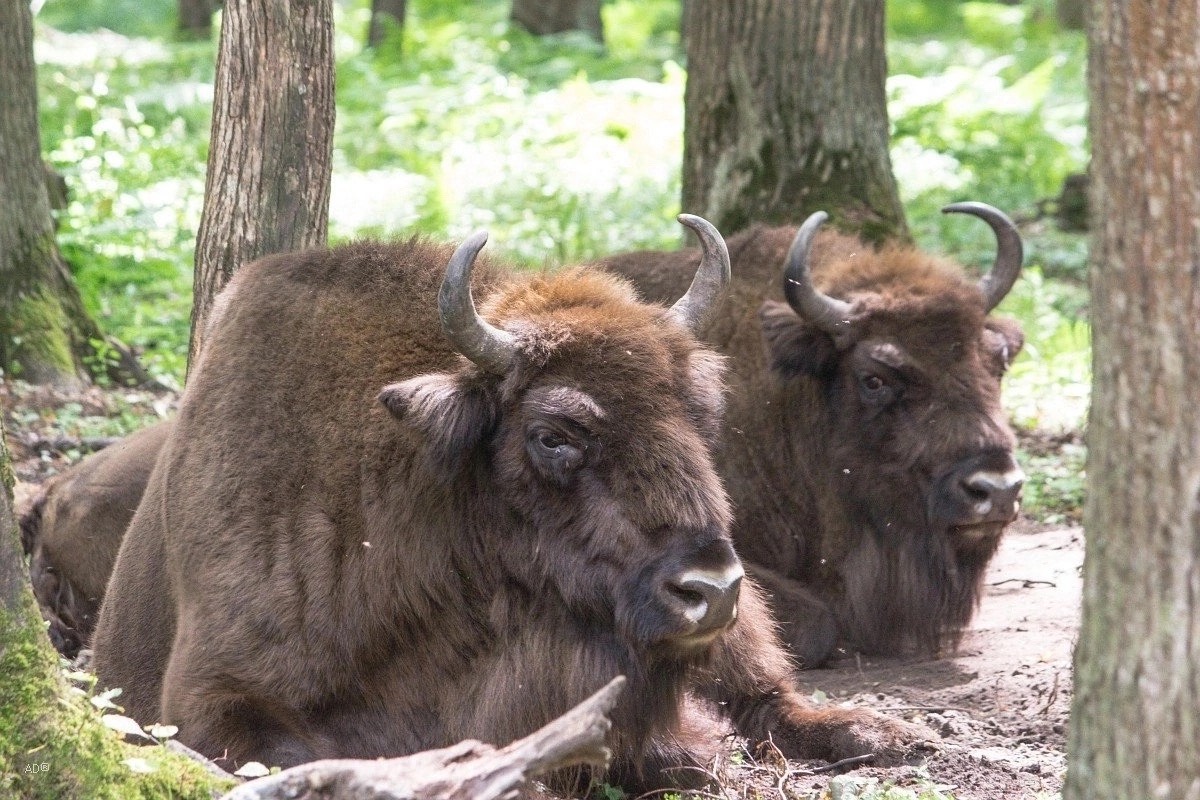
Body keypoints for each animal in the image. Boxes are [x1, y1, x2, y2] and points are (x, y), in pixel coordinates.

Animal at [88, 221, 926, 791]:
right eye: (552, 434)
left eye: (698, 408)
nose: (709, 589)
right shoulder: (211, 700)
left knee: (773, 694)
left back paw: (883, 732)